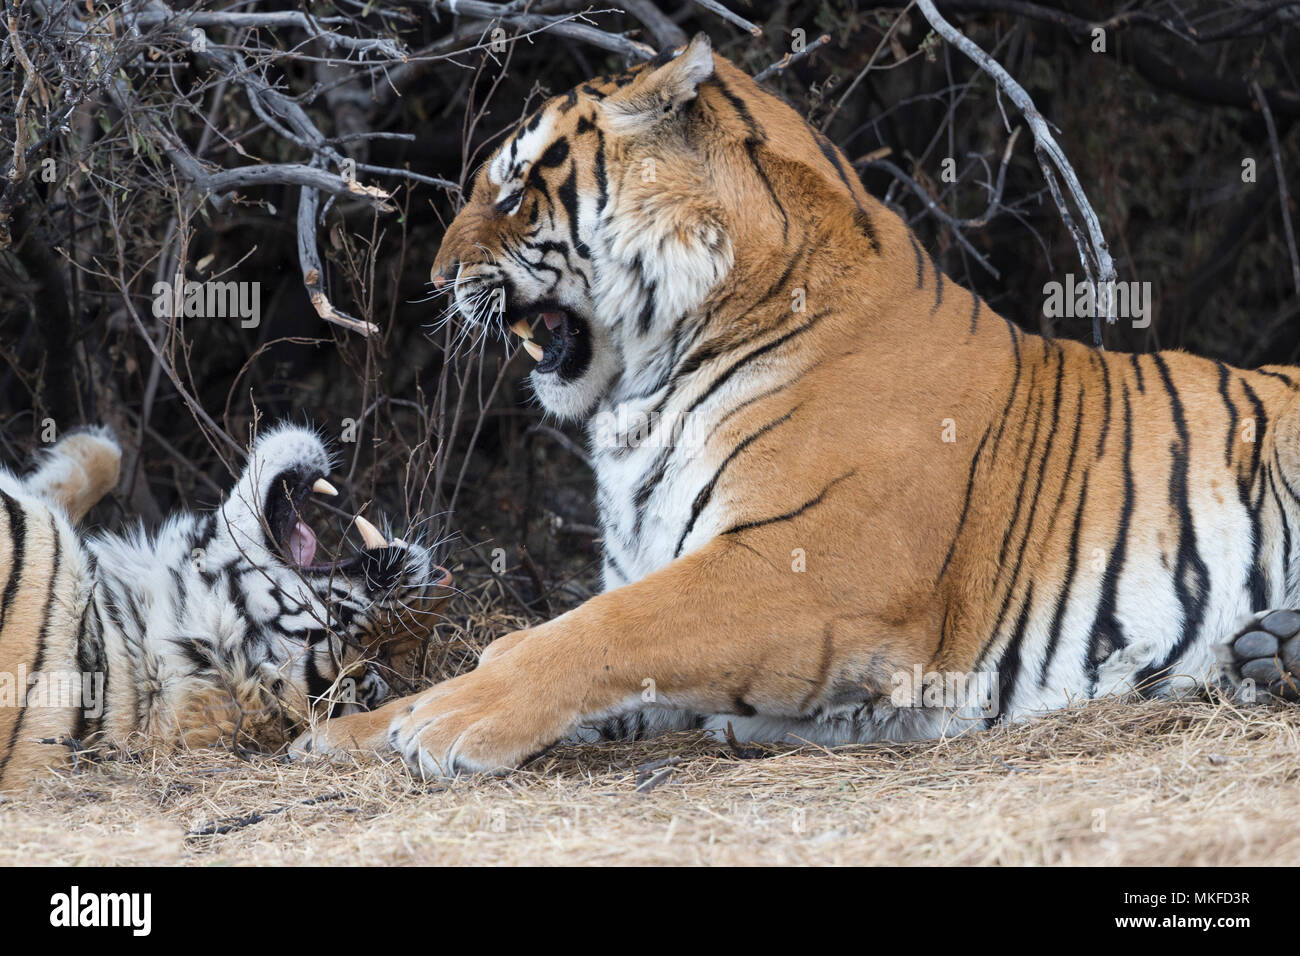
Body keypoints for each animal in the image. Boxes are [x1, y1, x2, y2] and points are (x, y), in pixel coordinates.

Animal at [298, 34, 1300, 777]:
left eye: (512, 190)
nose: (434, 280)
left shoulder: (808, 567)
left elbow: (587, 633)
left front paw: (447, 720)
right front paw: (340, 733)